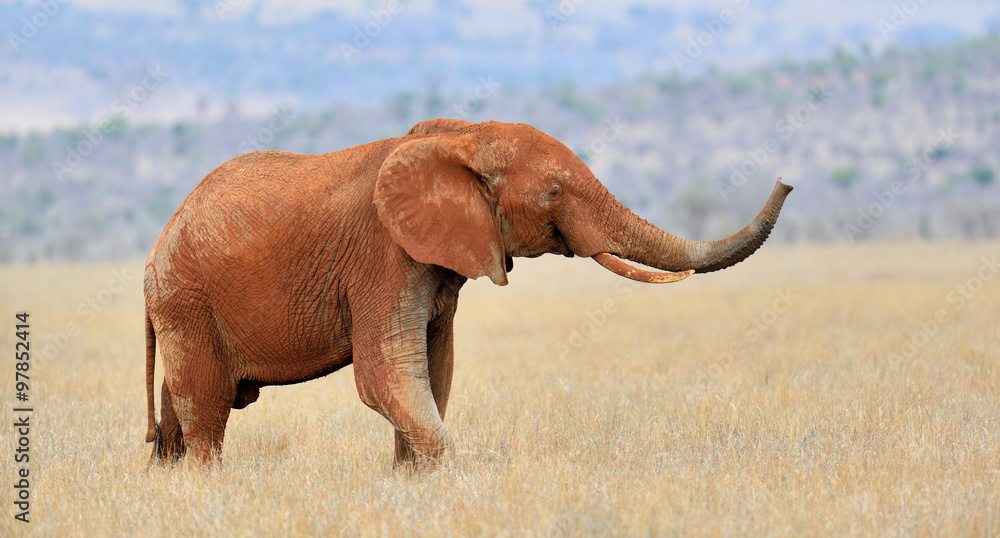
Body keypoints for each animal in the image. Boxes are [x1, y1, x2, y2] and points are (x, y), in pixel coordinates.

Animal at [143, 118, 792, 466]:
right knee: (205, 408)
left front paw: (412, 487)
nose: (788, 180)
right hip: (187, 300)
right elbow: (387, 375)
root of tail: (154, 250)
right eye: (554, 192)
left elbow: (436, 369)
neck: (464, 136)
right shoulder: (384, 257)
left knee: (180, 410)